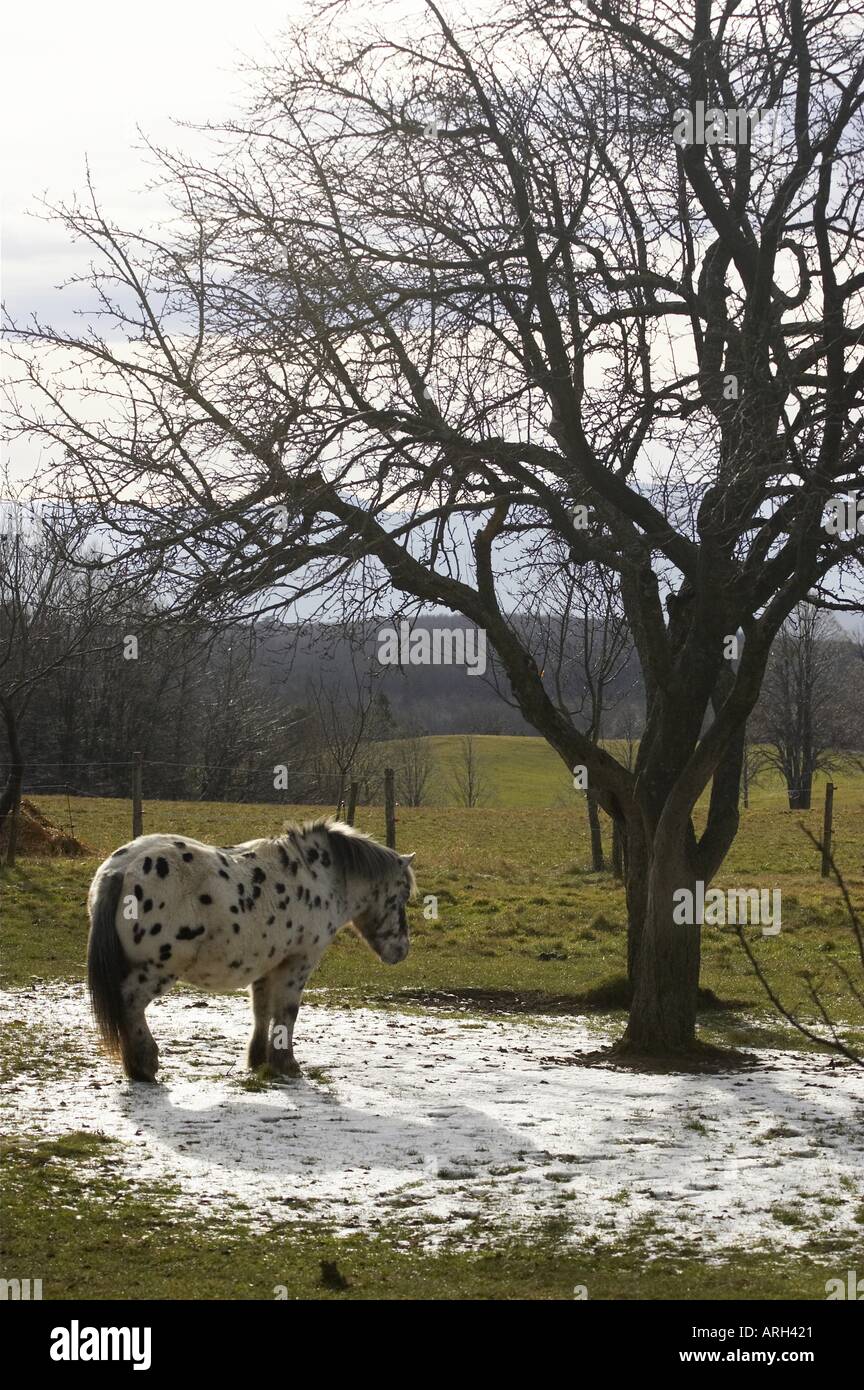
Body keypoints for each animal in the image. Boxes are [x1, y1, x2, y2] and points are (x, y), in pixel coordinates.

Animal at [86, 818, 415, 1082]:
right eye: (401, 896)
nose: (401, 950)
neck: (317, 876)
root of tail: (121, 870)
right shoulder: (298, 962)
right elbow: (286, 1013)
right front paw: (287, 1065)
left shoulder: (267, 964)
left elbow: (262, 1011)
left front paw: (259, 1061)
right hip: (158, 968)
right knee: (130, 1002)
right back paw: (145, 1065)